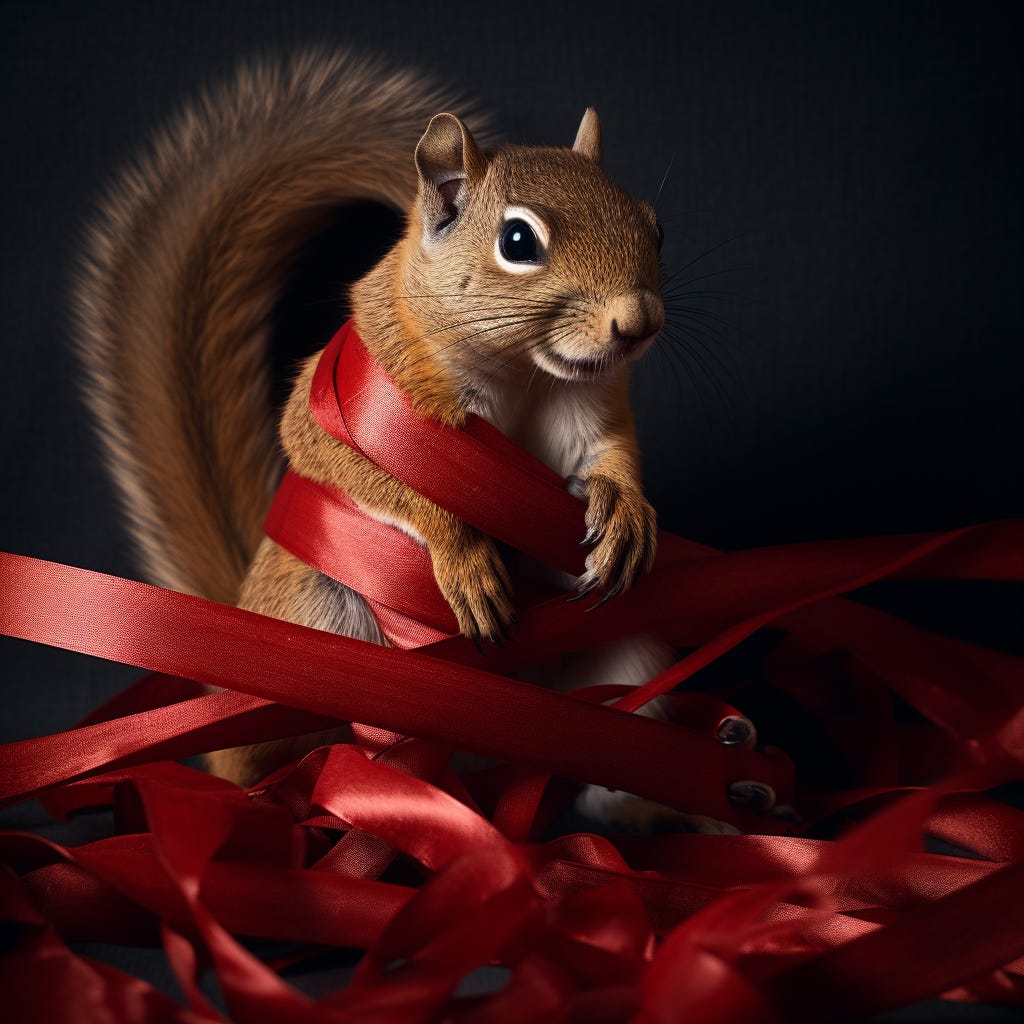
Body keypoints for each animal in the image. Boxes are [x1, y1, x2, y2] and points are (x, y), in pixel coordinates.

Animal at [75, 51, 725, 831]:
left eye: (654, 228)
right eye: (517, 242)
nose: (640, 322)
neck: (524, 372)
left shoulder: (589, 408)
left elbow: (610, 454)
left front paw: (625, 508)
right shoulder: (348, 405)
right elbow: (370, 475)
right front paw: (462, 554)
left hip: (627, 657)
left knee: (600, 767)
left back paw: (673, 798)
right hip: (317, 637)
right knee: (260, 760)